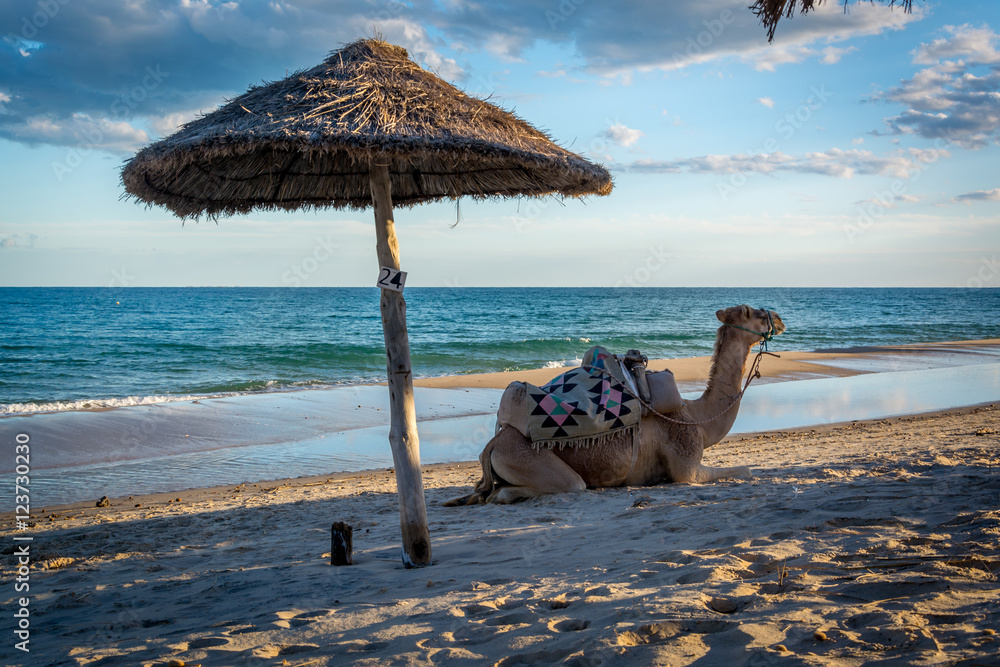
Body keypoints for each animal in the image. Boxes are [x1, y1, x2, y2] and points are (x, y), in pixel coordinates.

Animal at [446, 305, 785, 505]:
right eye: (753, 312)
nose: (779, 318)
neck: (697, 418)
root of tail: (493, 444)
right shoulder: (686, 467)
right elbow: (747, 469)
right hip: (533, 461)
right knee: (553, 487)